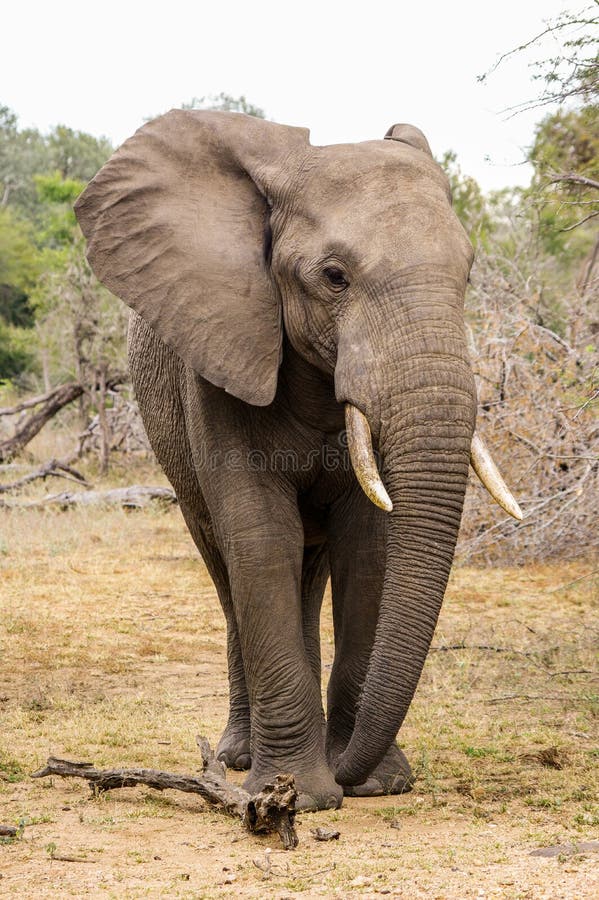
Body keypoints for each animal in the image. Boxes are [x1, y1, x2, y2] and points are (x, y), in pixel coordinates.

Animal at [74, 110, 521, 811]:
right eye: (334, 276)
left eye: (469, 273)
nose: (349, 775)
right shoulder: (221, 352)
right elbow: (261, 537)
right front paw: (301, 796)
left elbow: (367, 543)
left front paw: (375, 785)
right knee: (228, 569)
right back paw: (238, 757)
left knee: (307, 575)